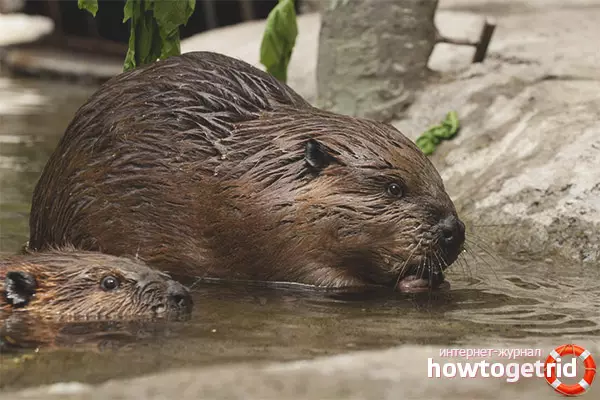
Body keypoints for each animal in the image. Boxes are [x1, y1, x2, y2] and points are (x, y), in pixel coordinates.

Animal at [28, 51, 466, 292]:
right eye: (394, 188)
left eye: (440, 179)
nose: (454, 231)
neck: (262, 172)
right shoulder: (273, 239)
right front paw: (413, 282)